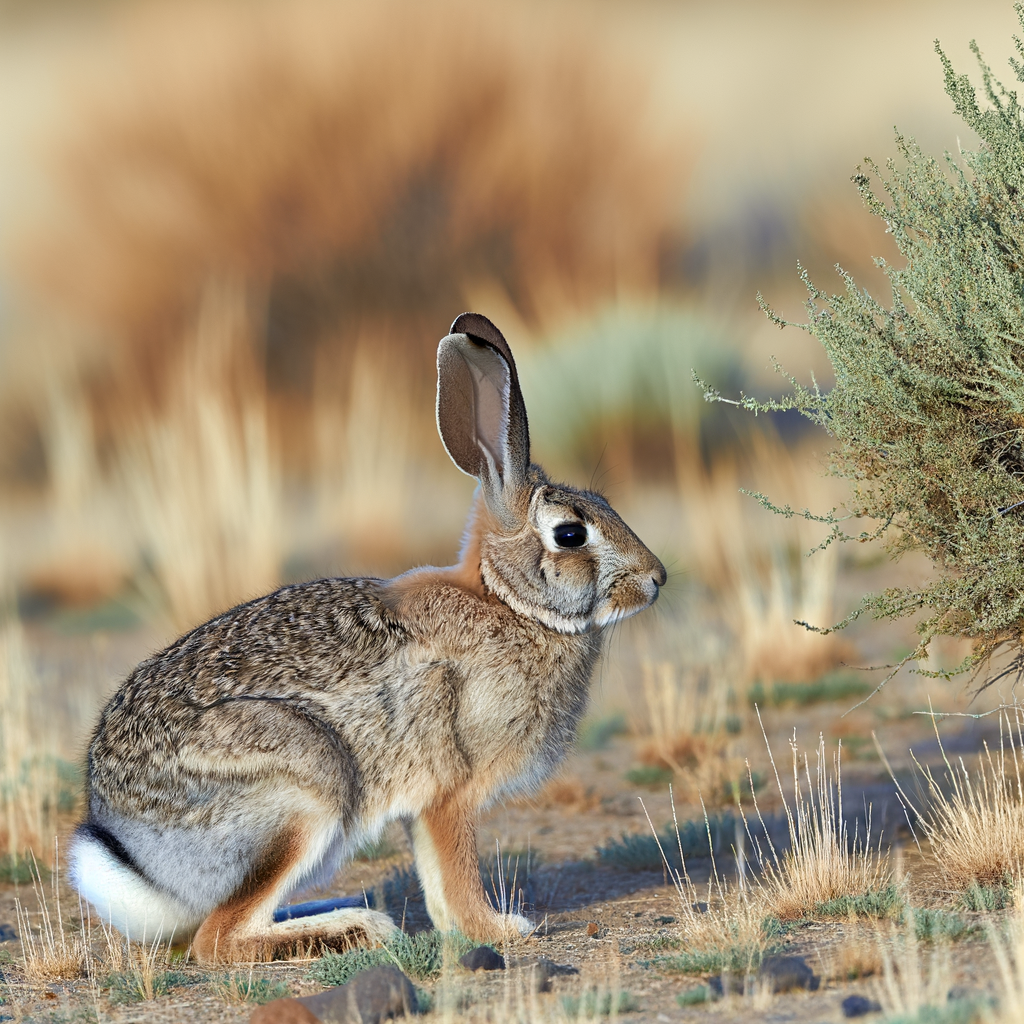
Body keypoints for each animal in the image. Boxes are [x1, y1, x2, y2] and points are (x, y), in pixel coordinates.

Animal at [68, 312, 667, 963]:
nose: (656, 580)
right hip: (306, 788)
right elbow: (457, 872)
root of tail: (131, 847)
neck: (508, 602)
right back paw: (357, 930)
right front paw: (502, 931)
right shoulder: (451, 791)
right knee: (218, 938)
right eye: (570, 534)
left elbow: (437, 883)